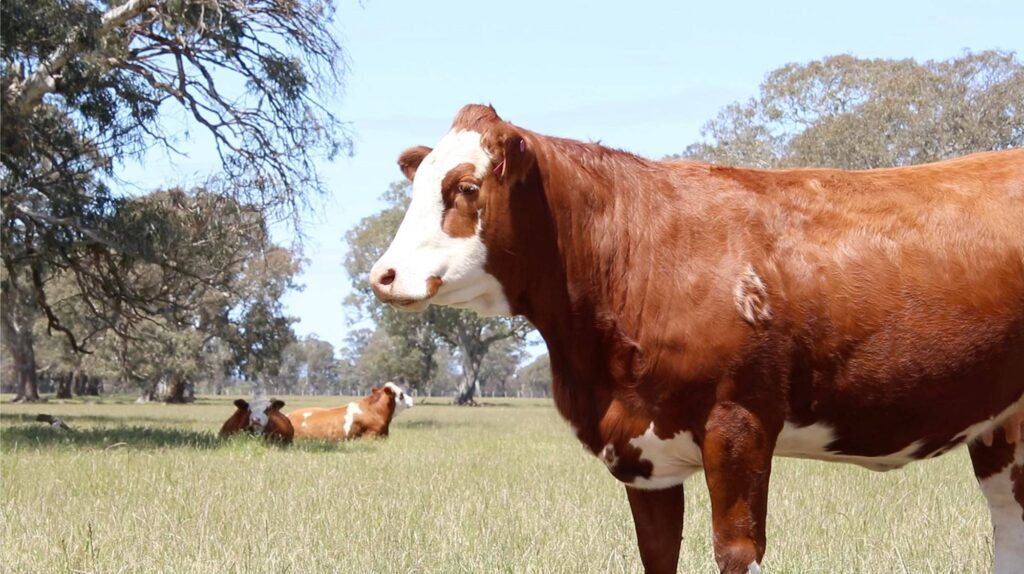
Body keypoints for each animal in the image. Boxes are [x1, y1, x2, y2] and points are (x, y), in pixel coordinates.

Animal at [368, 104, 1024, 574]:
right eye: (417, 186)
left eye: (466, 187)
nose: (383, 274)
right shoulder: (642, 454)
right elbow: (658, 554)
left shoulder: (740, 423)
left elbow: (736, 549)